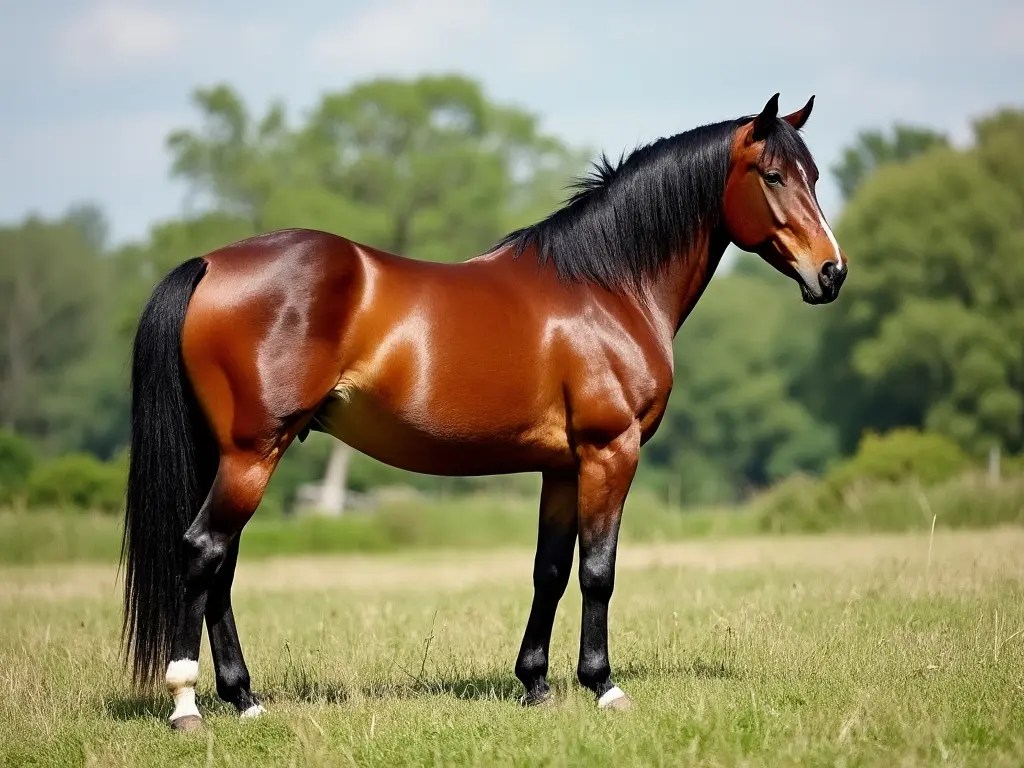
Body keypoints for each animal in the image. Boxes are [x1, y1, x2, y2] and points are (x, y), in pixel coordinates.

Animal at [121, 93, 847, 729]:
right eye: (773, 175)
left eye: (814, 174)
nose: (832, 272)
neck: (606, 285)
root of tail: (209, 264)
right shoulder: (609, 451)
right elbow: (598, 571)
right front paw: (603, 686)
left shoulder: (562, 466)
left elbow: (550, 571)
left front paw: (536, 685)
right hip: (252, 453)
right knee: (203, 551)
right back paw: (187, 704)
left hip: (234, 455)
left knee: (220, 568)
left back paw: (245, 699)